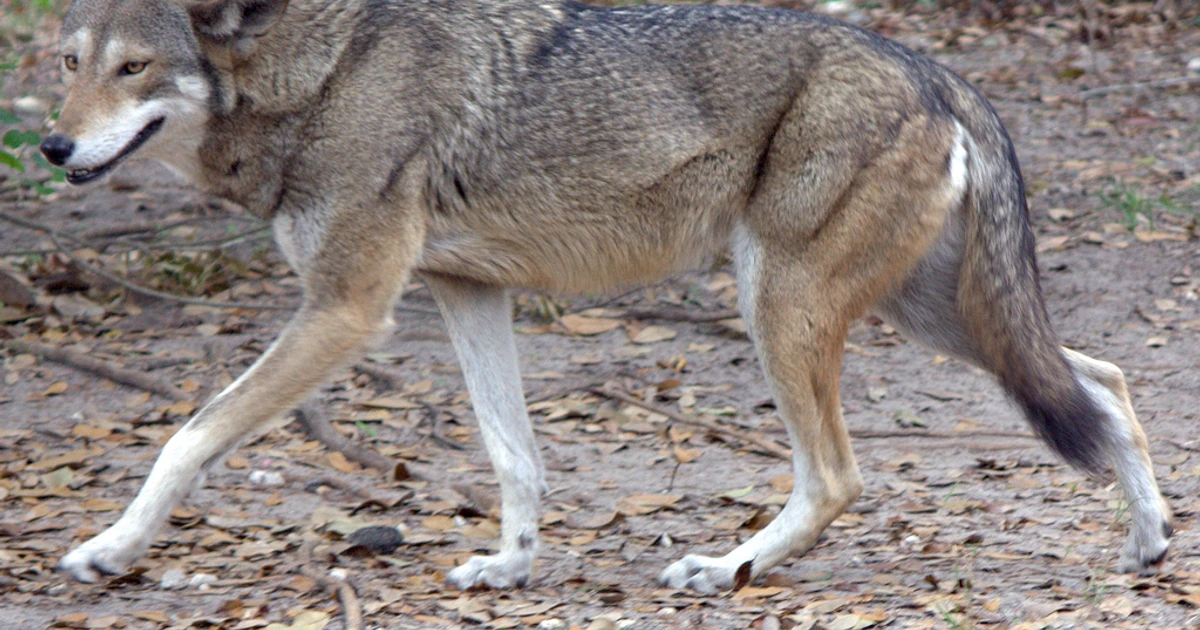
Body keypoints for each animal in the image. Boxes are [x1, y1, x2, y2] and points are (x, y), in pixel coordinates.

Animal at [42, 0, 1171, 593]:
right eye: (67, 64)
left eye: (134, 69)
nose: (51, 145)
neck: (319, 78)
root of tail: (930, 67)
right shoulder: (463, 295)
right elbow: (515, 457)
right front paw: (509, 569)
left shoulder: (346, 310)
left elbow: (187, 436)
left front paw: (110, 547)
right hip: (932, 320)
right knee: (1106, 381)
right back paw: (1150, 542)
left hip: (788, 311)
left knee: (839, 478)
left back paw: (724, 569)